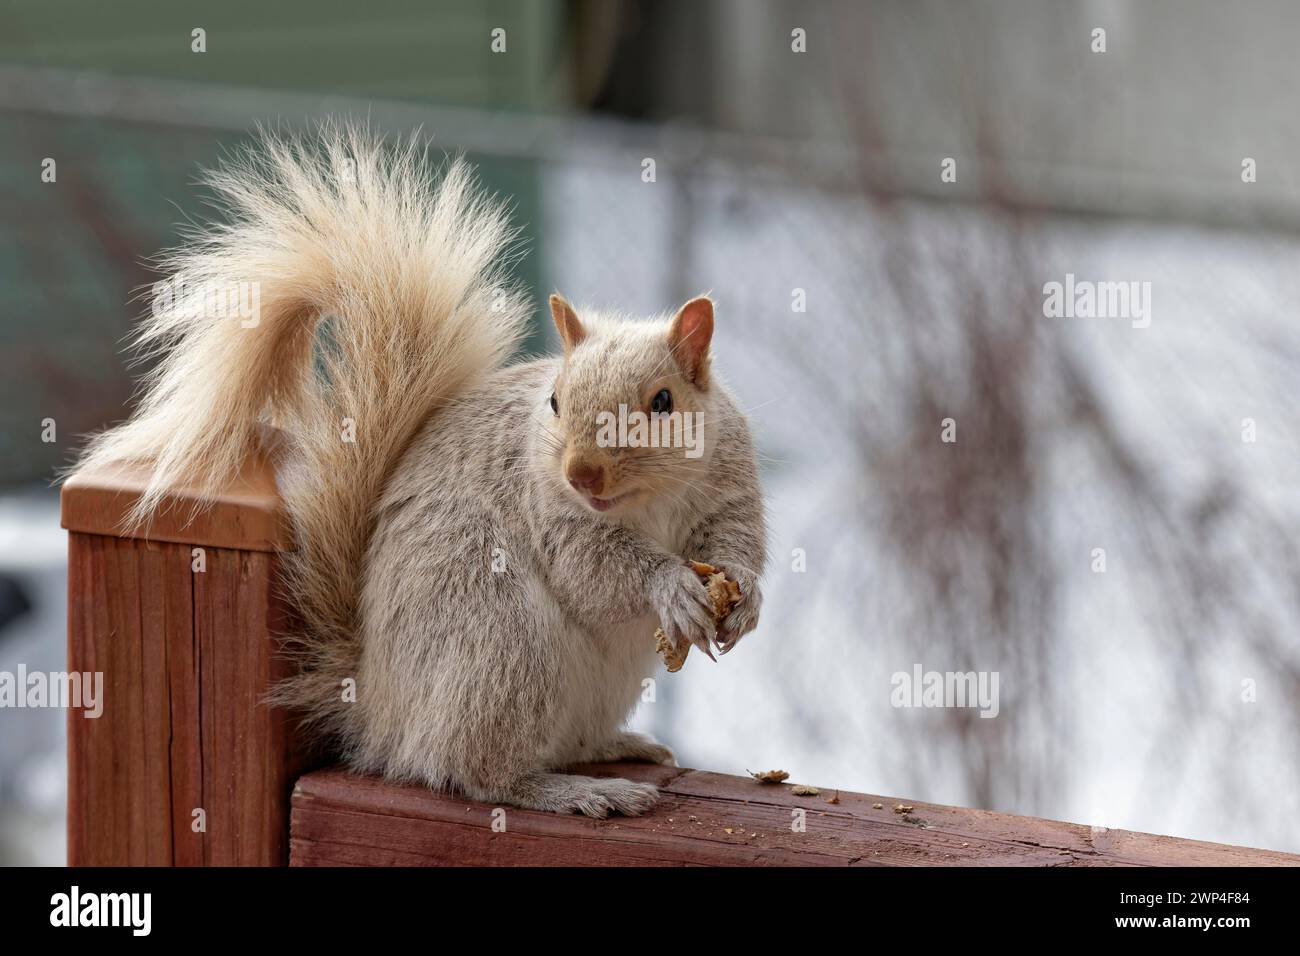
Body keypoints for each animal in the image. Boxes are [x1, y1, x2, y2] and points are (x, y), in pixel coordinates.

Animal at [76, 126, 768, 818]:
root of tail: (380, 709)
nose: (581, 475)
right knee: (478, 769)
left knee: (550, 743)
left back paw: (613, 749)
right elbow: (590, 569)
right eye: (554, 401)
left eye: (663, 402)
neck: (651, 499)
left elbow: (738, 541)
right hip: (502, 641)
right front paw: (670, 584)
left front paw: (746, 598)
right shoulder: (552, 510)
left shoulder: (729, 489)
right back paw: (572, 791)